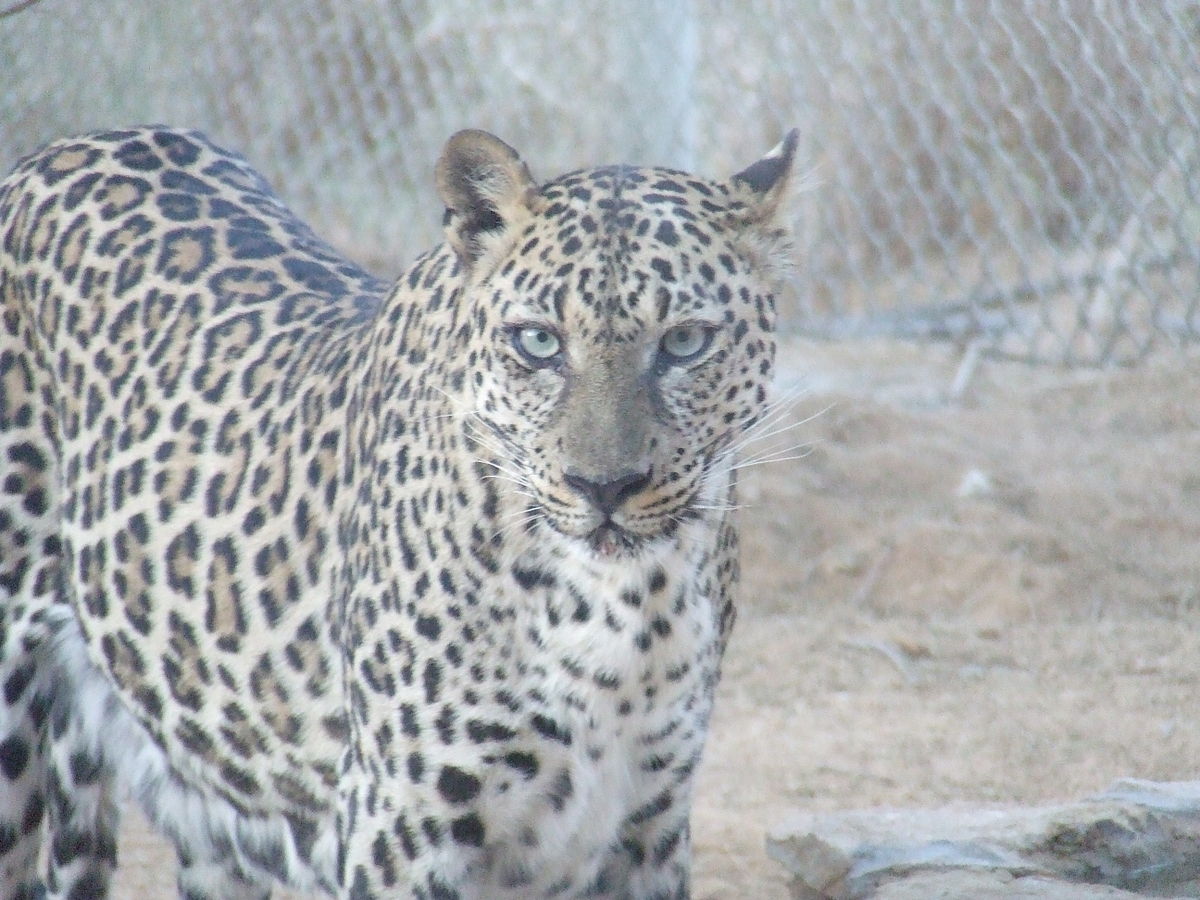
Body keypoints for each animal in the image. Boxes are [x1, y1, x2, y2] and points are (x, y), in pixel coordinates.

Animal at [0, 123, 797, 899]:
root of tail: (61, 147)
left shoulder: (647, 831)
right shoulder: (401, 831)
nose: (604, 487)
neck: (624, 613)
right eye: (538, 341)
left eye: (685, 341)